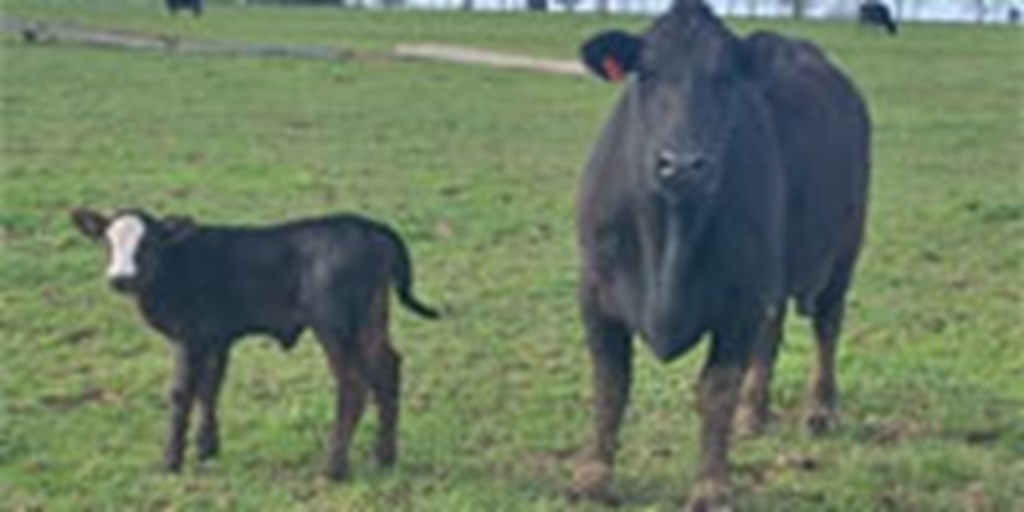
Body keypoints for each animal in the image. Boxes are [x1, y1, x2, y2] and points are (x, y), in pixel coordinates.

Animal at [70, 207, 439, 481]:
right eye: (107, 241)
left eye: (147, 243)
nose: (120, 278)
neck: (177, 265)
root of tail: (367, 225)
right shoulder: (215, 338)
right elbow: (210, 387)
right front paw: (207, 448)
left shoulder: (188, 336)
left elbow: (182, 392)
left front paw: (171, 460)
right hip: (371, 319)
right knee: (387, 369)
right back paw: (384, 457)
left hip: (334, 325)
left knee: (353, 384)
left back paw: (334, 467)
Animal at [573, 0, 870, 509]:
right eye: (646, 73)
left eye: (725, 78)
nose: (682, 165)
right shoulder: (595, 290)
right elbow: (610, 383)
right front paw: (594, 475)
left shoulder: (740, 300)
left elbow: (716, 390)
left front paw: (712, 484)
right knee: (773, 332)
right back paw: (754, 413)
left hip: (843, 254)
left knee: (827, 327)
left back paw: (820, 409)